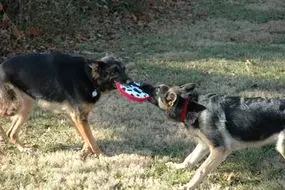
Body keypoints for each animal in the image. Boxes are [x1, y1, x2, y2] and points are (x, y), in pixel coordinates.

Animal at [0, 52, 130, 159]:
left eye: (124, 69)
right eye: (114, 71)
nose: (130, 82)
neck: (89, 77)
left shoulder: (75, 117)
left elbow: (86, 136)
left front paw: (85, 151)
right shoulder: (79, 117)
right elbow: (91, 138)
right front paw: (101, 155)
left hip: (25, 109)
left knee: (11, 133)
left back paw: (23, 149)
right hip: (14, 107)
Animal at [141, 83, 284, 190]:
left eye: (156, 89)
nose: (142, 84)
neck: (190, 105)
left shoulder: (219, 149)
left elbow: (201, 170)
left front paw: (188, 186)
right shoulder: (204, 145)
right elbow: (189, 159)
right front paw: (178, 167)